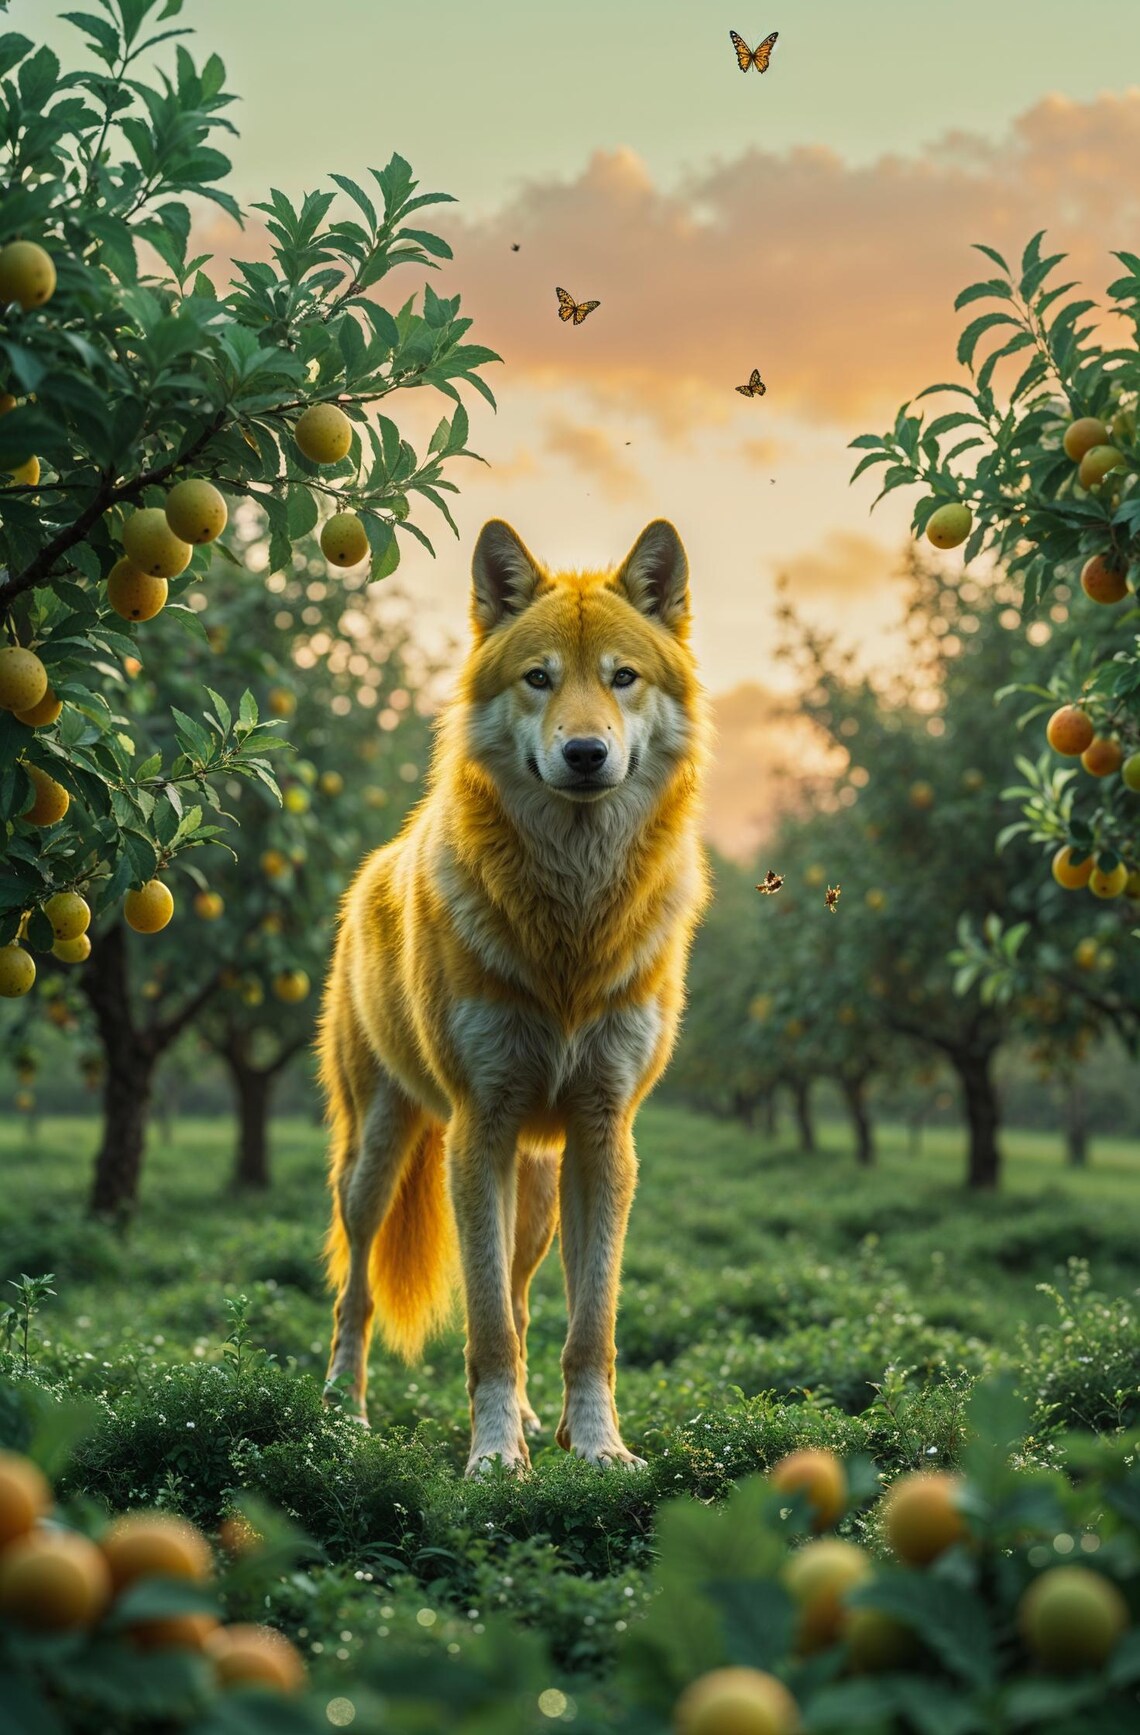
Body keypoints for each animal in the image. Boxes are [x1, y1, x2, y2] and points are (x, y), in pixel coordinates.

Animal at [318, 517, 711, 1474]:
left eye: (621, 676)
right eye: (539, 677)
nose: (585, 753)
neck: (571, 918)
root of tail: (377, 863)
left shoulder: (605, 1136)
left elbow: (588, 1326)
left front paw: (596, 1448)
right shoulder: (479, 1129)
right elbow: (487, 1328)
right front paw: (494, 1462)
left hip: (537, 1190)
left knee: (531, 1298)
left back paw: (543, 1421)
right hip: (377, 1158)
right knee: (357, 1288)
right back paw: (344, 1413)